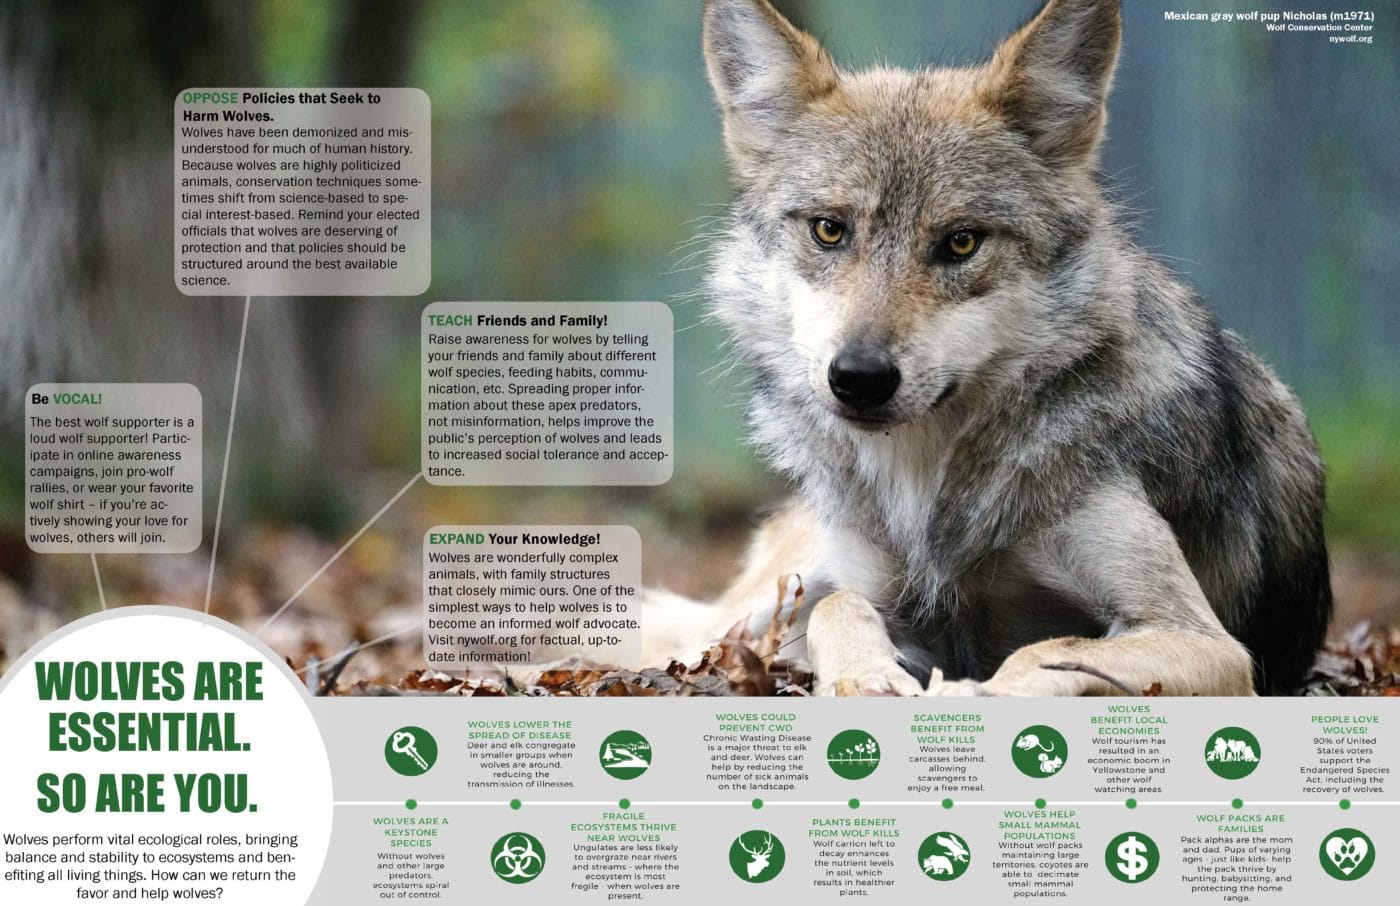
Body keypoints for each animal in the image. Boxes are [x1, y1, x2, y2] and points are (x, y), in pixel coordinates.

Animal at [687, 0, 1331, 696]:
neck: (927, 486)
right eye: (830, 230)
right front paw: (867, 680)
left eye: (962, 242)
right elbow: (839, 608)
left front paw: (973, 694)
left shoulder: (1204, 639)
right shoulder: (888, 603)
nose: (859, 376)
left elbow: (1042, 652)